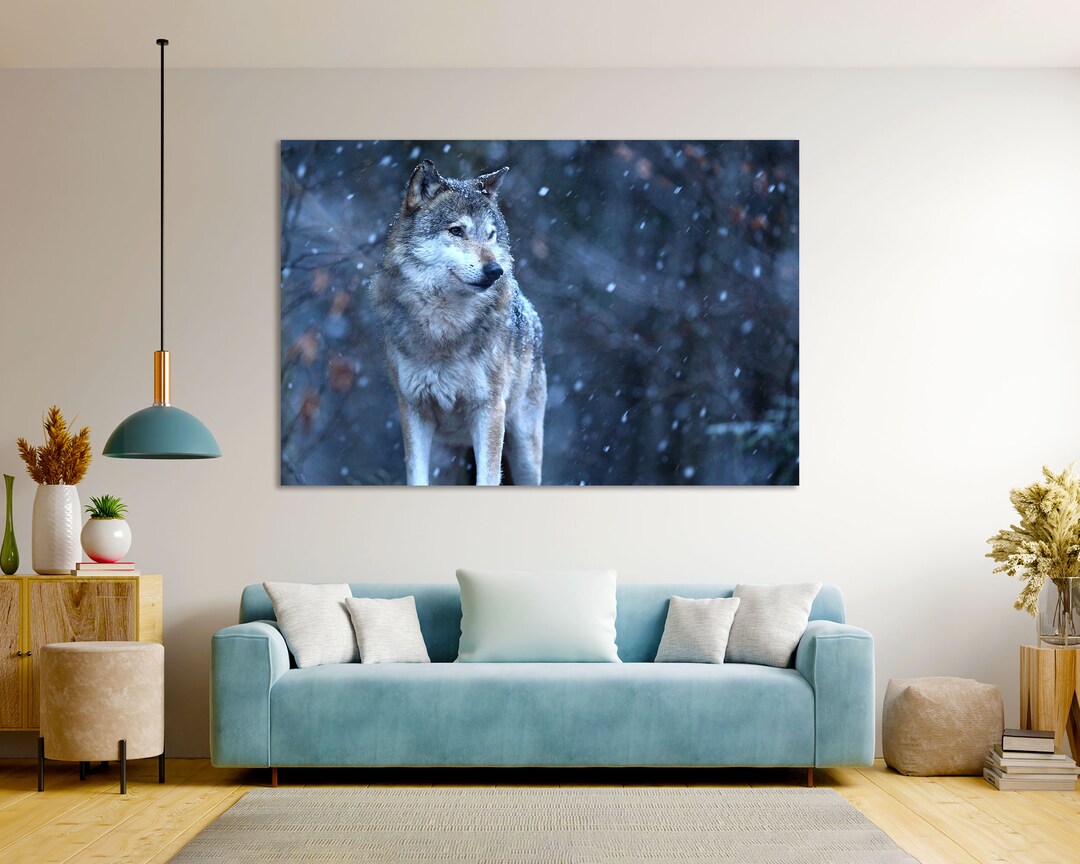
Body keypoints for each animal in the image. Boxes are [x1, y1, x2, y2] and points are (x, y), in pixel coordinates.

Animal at [370, 160, 547, 486]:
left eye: (490, 235)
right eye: (456, 230)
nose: (495, 270)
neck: (445, 326)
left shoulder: (489, 409)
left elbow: (488, 480)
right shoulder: (413, 409)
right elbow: (415, 478)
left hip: (525, 454)